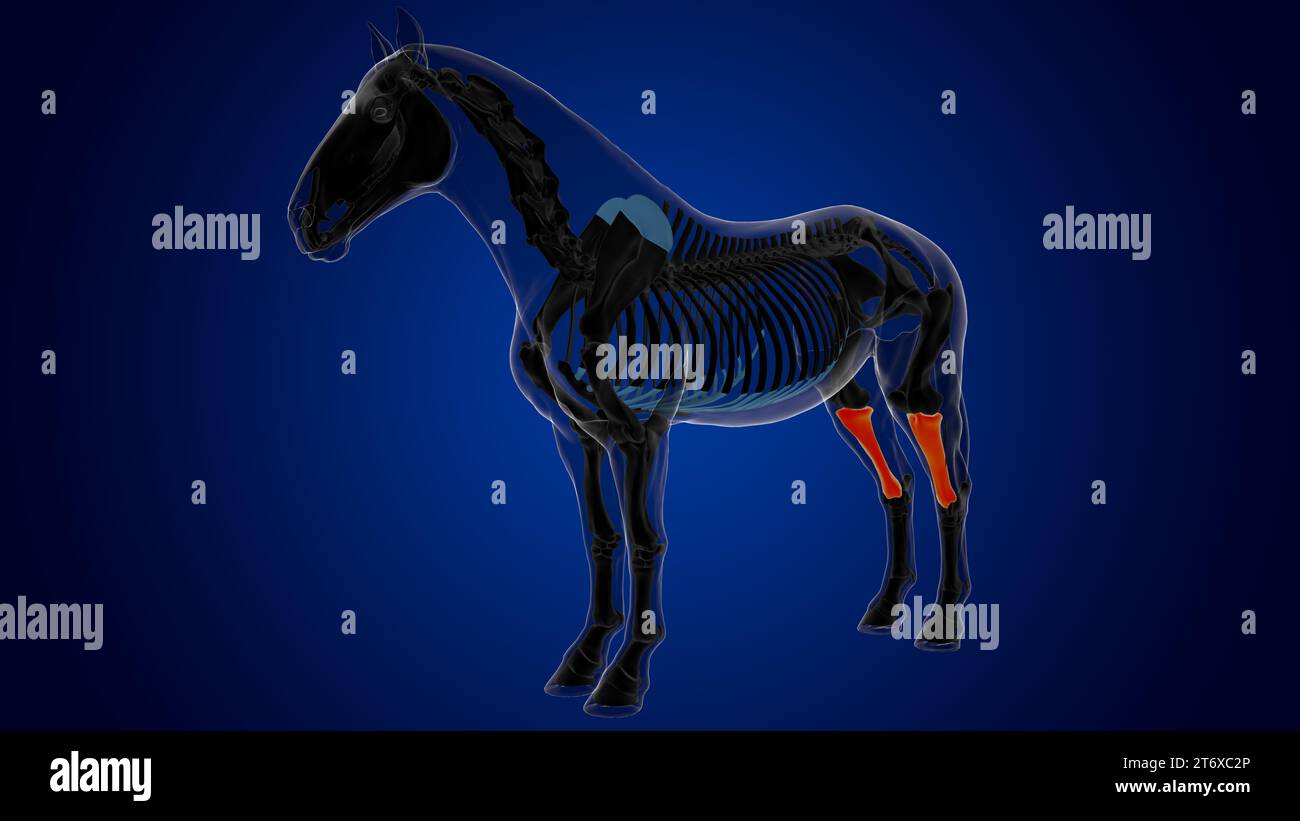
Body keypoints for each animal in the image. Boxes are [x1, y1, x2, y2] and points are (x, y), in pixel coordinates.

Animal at [287, 11, 971, 717]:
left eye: (381, 110)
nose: (305, 223)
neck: (580, 264)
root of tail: (922, 246)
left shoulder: (639, 430)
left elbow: (647, 540)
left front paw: (624, 678)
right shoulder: (574, 434)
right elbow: (601, 538)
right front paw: (581, 662)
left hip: (919, 385)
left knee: (950, 484)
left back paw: (943, 624)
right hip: (851, 393)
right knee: (898, 483)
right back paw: (884, 610)